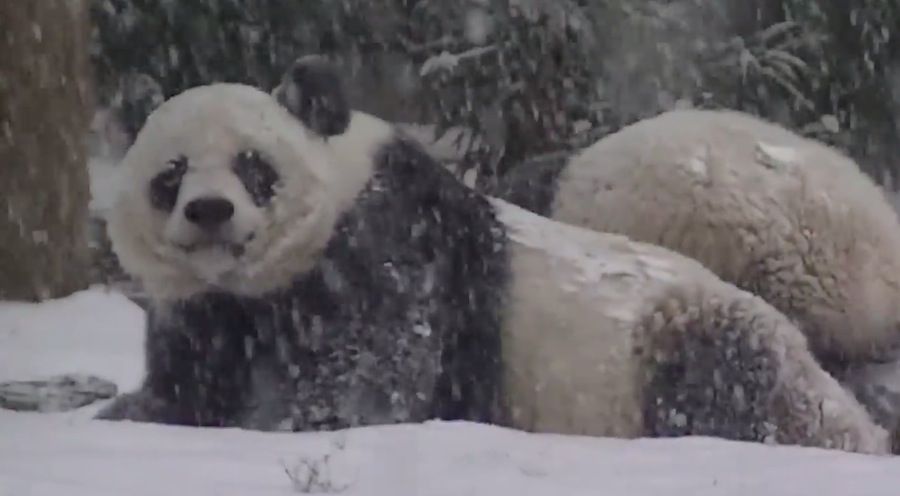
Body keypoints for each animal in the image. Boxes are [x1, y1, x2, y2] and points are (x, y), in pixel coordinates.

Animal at [95, 56, 890, 455]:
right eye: (170, 176)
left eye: (253, 165)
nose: (210, 212)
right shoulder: (202, 311)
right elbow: (185, 379)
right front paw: (132, 415)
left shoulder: (387, 250)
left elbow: (364, 389)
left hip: (690, 326)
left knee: (728, 384)